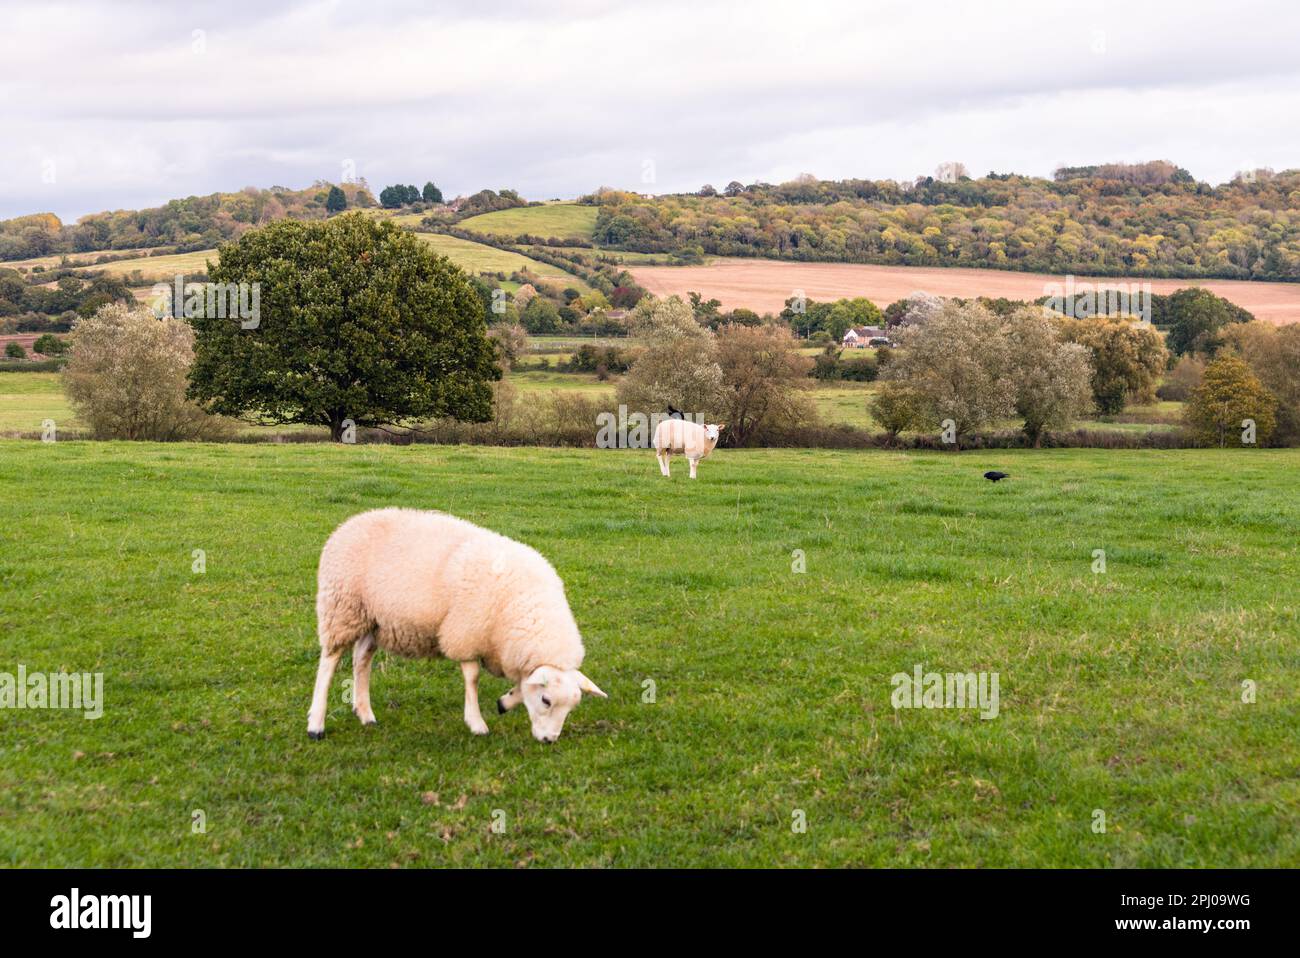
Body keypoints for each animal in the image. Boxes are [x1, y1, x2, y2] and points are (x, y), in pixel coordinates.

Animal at [307, 508, 606, 744]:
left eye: (571, 707)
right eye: (546, 701)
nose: (549, 740)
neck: (522, 606)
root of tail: (348, 524)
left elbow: (521, 682)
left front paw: (505, 701)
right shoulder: (467, 633)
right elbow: (472, 677)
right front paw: (476, 723)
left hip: (374, 619)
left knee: (361, 659)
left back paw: (365, 713)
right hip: (342, 608)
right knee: (329, 662)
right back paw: (316, 724)